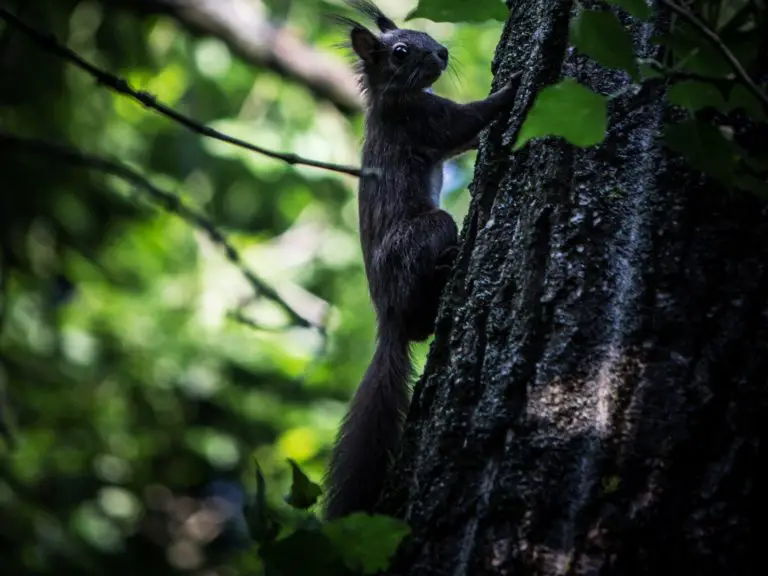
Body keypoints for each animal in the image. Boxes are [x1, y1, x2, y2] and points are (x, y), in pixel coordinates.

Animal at [325, 0, 521, 520]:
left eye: (426, 36)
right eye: (399, 52)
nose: (443, 52)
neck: (391, 99)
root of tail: (387, 316)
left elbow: (465, 139)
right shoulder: (426, 120)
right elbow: (469, 119)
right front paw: (511, 88)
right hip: (428, 231)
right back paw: (446, 269)